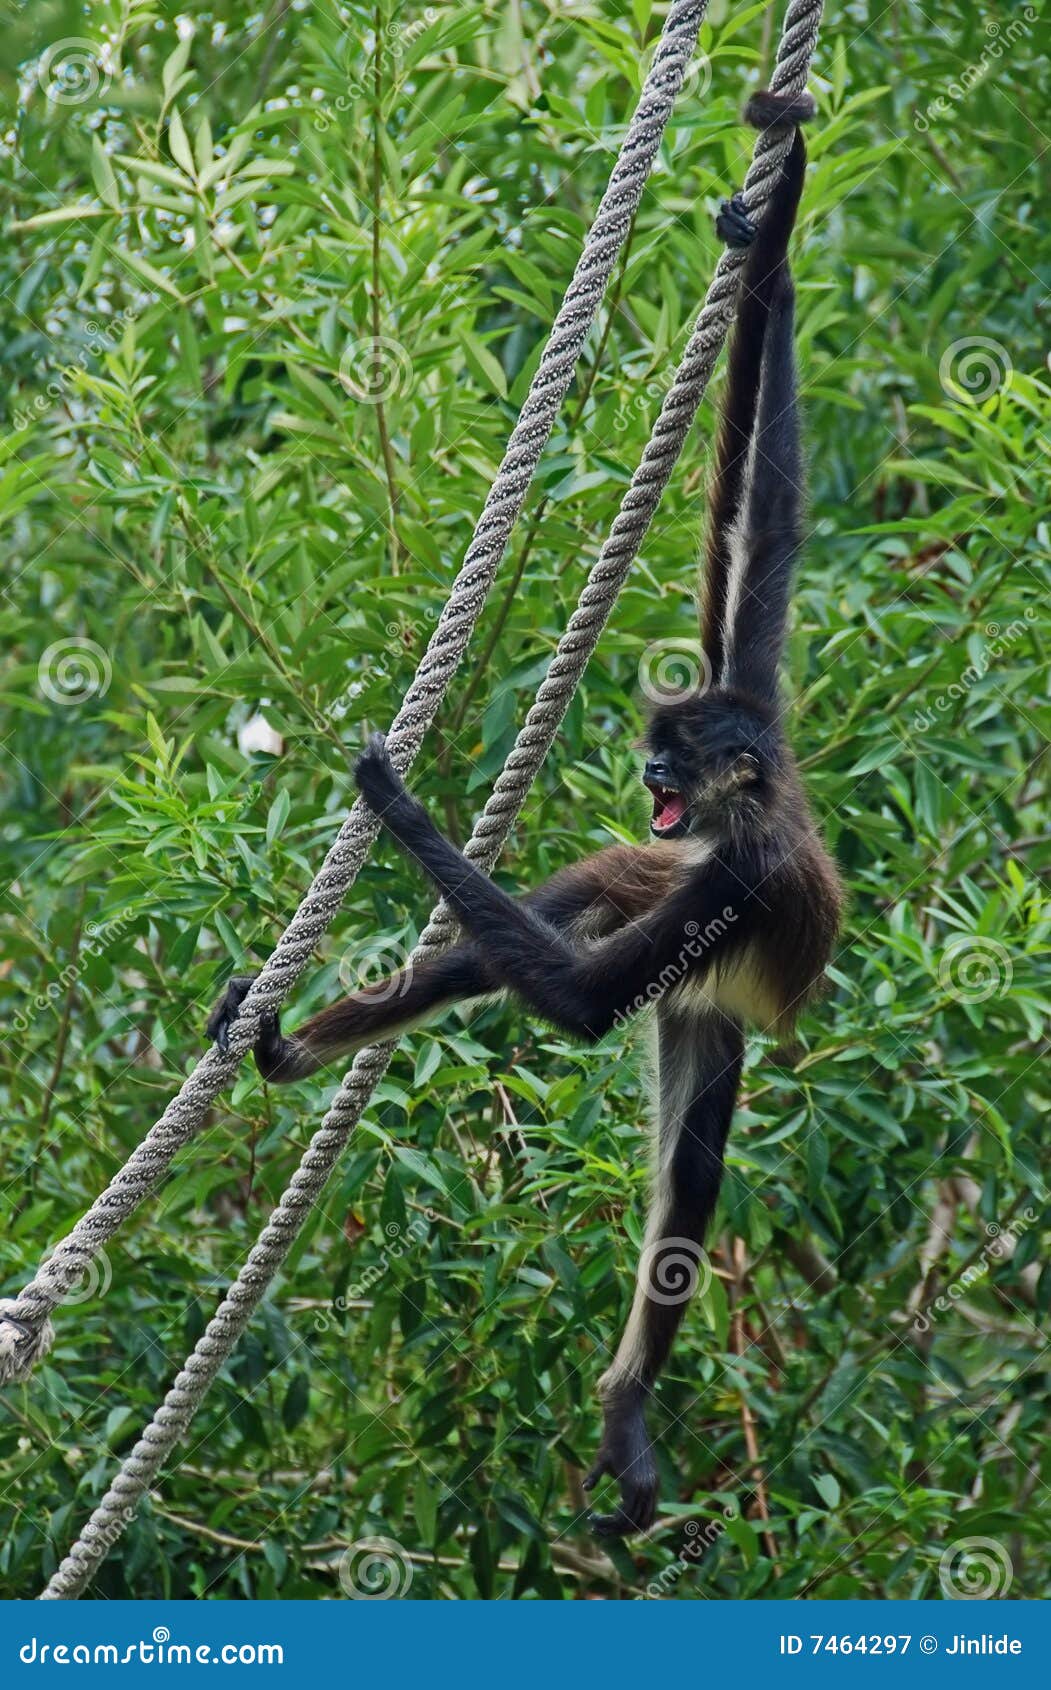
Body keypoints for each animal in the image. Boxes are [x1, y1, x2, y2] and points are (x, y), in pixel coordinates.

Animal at [208, 89, 842, 1537]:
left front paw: (389, 795)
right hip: (653, 922)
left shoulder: (735, 871)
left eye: (673, 771)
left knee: (678, 1149)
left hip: (703, 1002)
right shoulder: (741, 719)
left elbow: (584, 1005)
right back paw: (289, 1047)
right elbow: (759, 520)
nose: (652, 800)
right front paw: (770, 237)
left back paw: (624, 1406)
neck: (740, 816)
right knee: (531, 937)